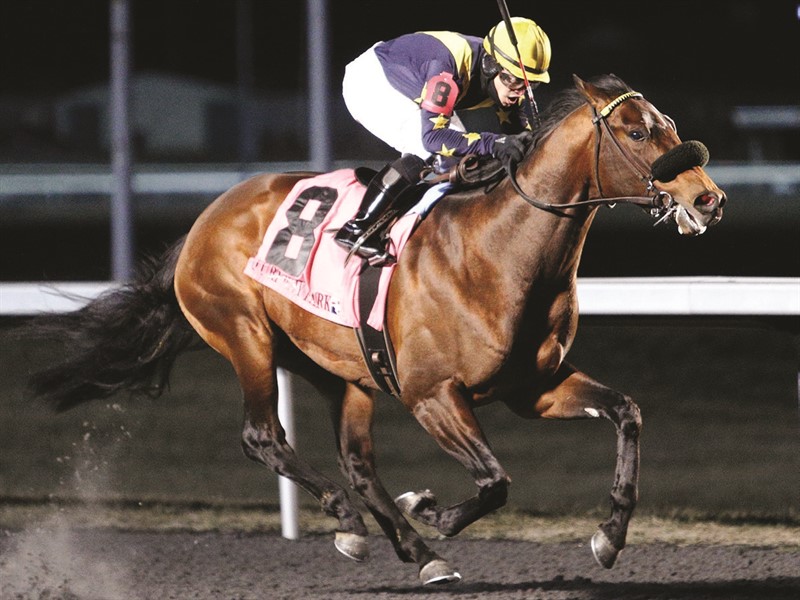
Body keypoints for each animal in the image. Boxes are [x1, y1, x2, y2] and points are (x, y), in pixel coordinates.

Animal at [24, 74, 725, 585]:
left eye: (669, 126)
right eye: (636, 131)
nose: (708, 198)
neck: (498, 253)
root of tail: (205, 219)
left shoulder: (535, 388)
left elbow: (627, 413)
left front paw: (609, 537)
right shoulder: (431, 395)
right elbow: (494, 481)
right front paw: (433, 509)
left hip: (342, 371)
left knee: (357, 463)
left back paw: (416, 551)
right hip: (246, 335)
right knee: (262, 436)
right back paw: (351, 519)